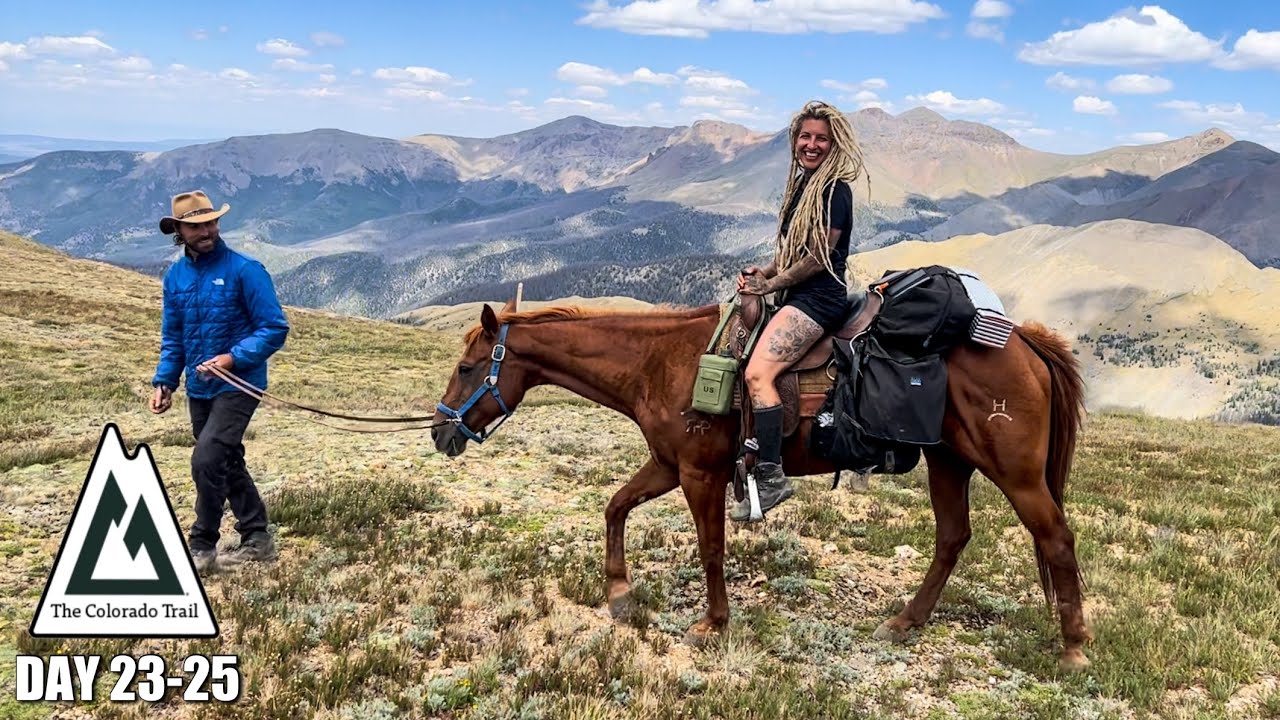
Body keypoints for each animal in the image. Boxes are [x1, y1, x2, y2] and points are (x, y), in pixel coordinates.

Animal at [431, 292, 1092, 671]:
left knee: (1056, 539)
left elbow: (710, 547)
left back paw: (1074, 647)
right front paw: (618, 591)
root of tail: (1024, 340)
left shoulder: (699, 473)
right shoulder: (667, 465)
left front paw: (711, 623)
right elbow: (616, 506)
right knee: (953, 536)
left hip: (1014, 473)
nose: (440, 433)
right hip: (949, 462)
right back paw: (905, 621)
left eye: (467, 367)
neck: (658, 362)